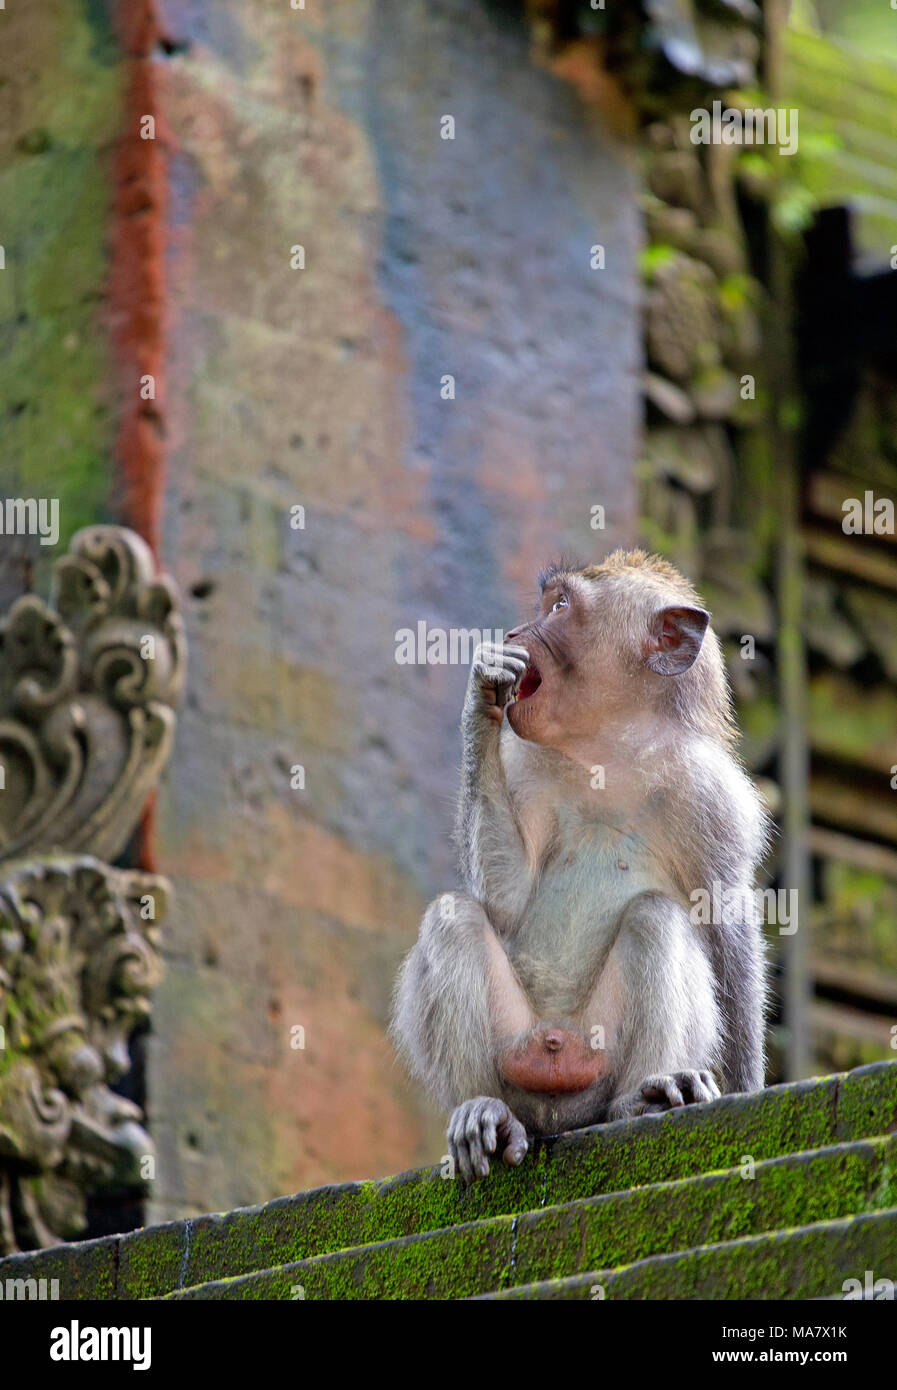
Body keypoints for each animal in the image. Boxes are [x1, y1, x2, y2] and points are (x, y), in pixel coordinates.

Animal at [391, 549, 770, 1181]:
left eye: (561, 607)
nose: (514, 633)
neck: (607, 750)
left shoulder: (715, 799)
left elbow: (726, 922)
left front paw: (747, 1088)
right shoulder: (525, 761)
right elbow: (507, 900)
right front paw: (482, 691)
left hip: (597, 1060)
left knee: (656, 919)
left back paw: (642, 1098)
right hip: (519, 1049)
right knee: (453, 918)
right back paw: (485, 1112)